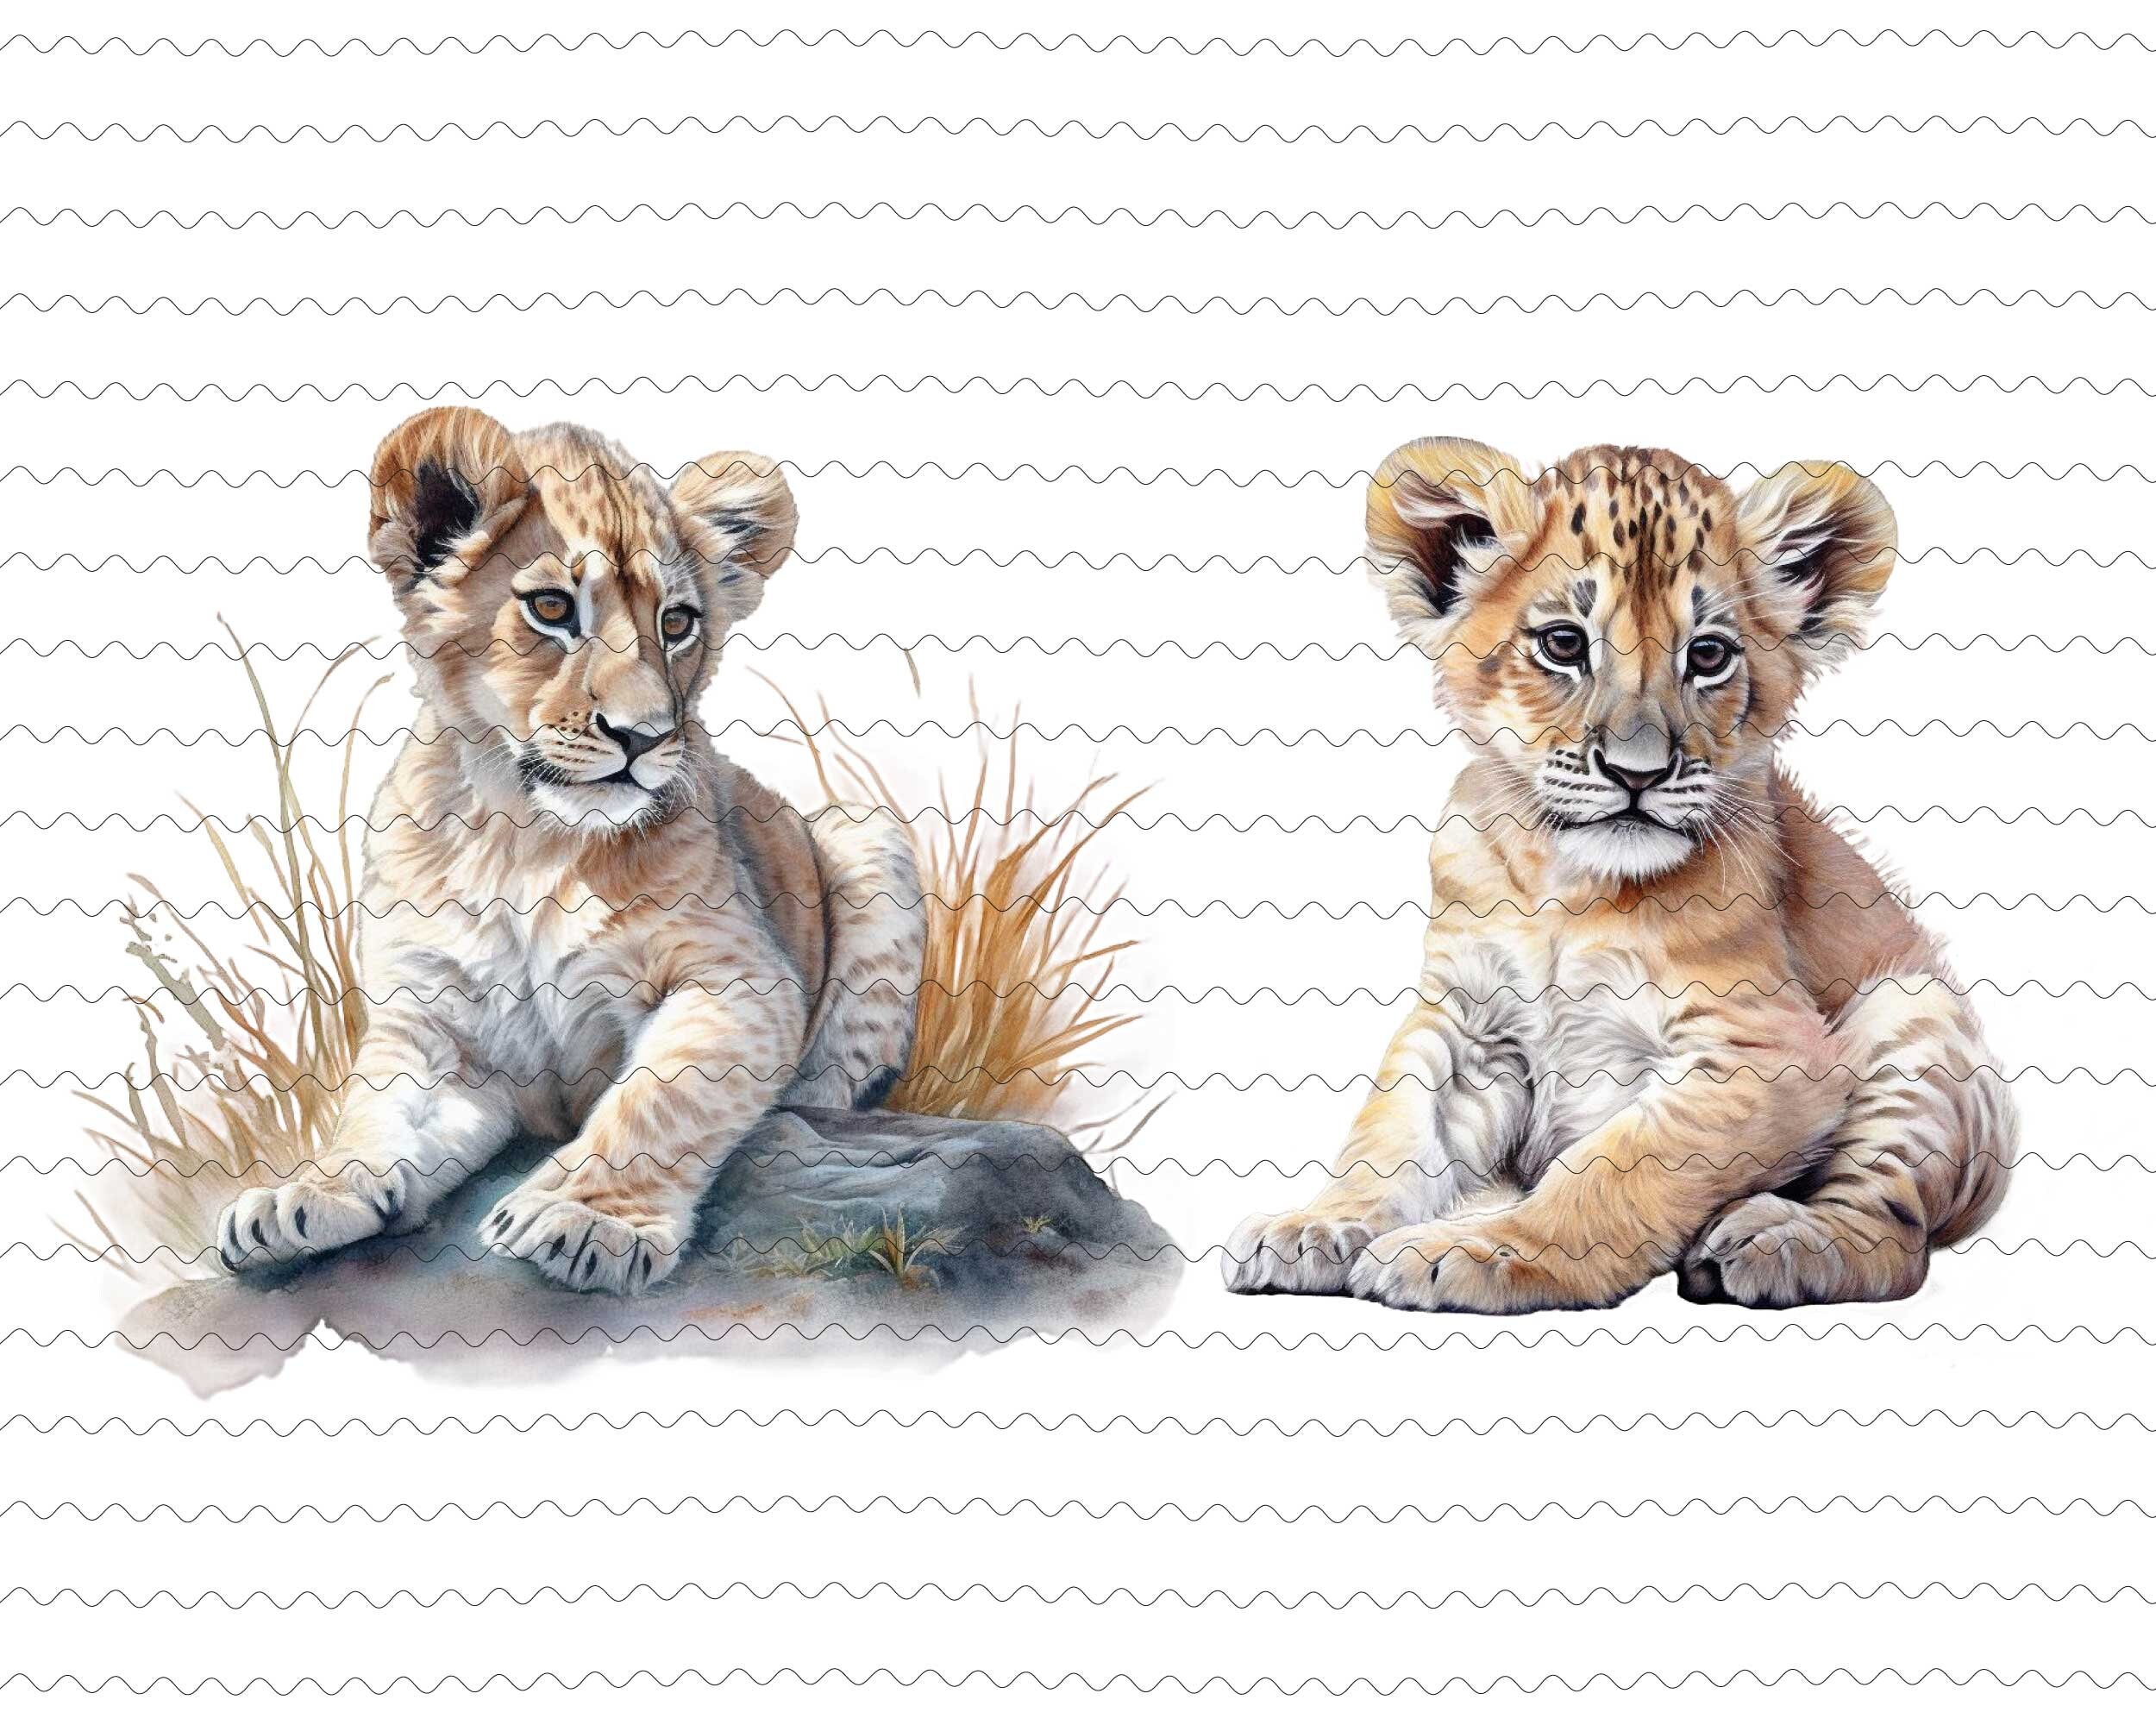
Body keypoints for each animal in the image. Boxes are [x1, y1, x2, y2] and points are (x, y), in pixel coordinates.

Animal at [214, 407, 924, 1293]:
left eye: (677, 624)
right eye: (552, 608)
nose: (643, 736)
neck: (527, 840)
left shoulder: (742, 982)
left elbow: (658, 1101)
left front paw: (587, 1219)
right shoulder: (437, 1024)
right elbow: (375, 1112)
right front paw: (308, 1194)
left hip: (867, 834)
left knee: (835, 1080)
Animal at [1224, 439, 2016, 1311]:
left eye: (1708, 655)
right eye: (1564, 645)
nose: (1637, 773)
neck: (1565, 890)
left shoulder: (1773, 1052)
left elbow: (1615, 1168)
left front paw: (1480, 1252)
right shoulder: (1467, 1023)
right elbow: (1394, 1127)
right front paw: (1315, 1225)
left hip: (1918, 1017)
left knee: (1895, 1236)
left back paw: (1768, 1242)